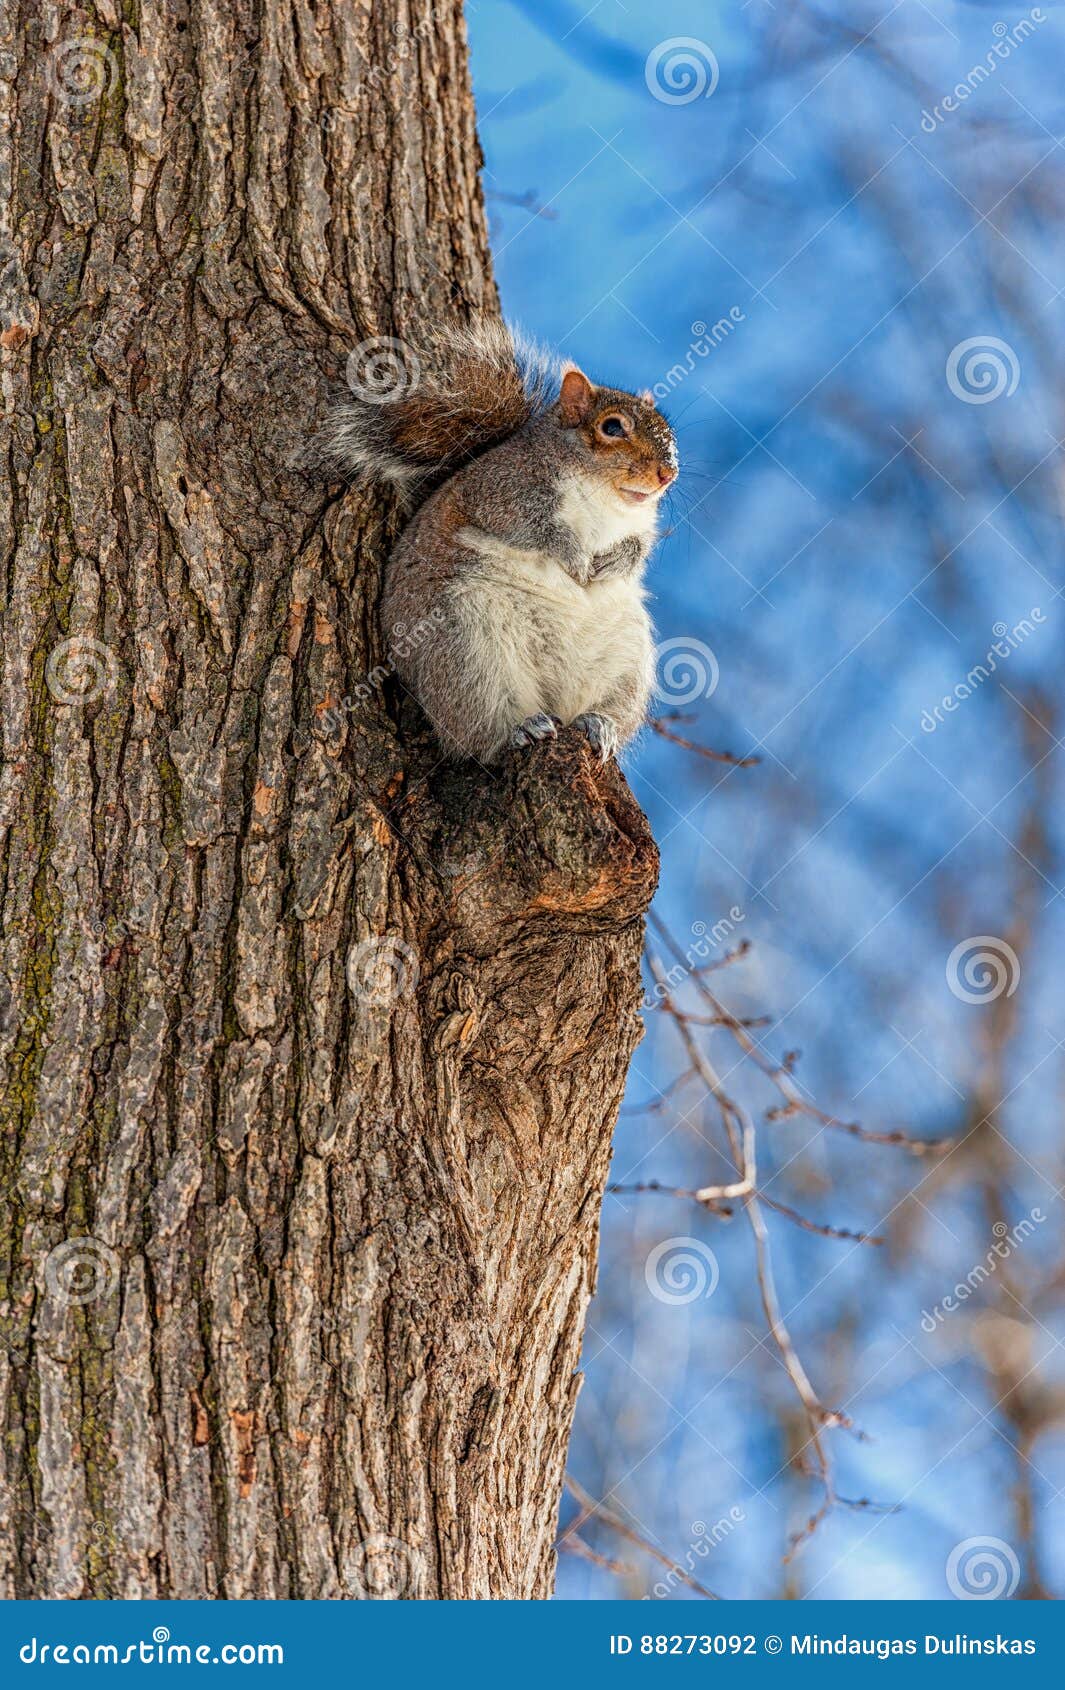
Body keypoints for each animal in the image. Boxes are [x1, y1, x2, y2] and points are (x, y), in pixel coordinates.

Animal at [322, 320, 678, 765]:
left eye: (669, 432)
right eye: (612, 427)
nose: (668, 473)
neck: (607, 500)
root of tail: (553, 700)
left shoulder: (640, 528)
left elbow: (638, 550)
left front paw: (613, 564)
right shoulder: (497, 492)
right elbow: (534, 529)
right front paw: (575, 557)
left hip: (626, 660)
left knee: (603, 707)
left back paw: (600, 724)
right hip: (466, 653)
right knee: (477, 735)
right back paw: (521, 728)